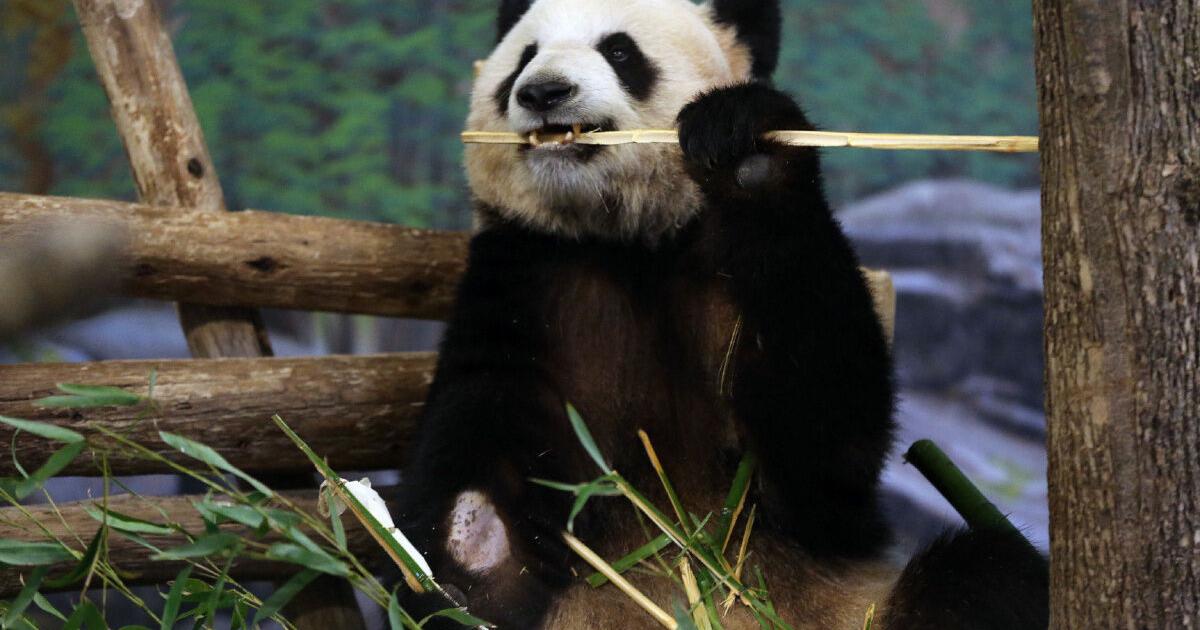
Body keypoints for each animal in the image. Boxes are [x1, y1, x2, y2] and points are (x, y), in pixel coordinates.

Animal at [396, 0, 1049, 627]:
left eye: (619, 51)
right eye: (524, 58)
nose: (543, 92)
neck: (629, 243)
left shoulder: (736, 275)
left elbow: (825, 454)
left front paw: (744, 152)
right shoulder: (523, 285)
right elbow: (475, 570)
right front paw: (473, 532)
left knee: (984, 578)